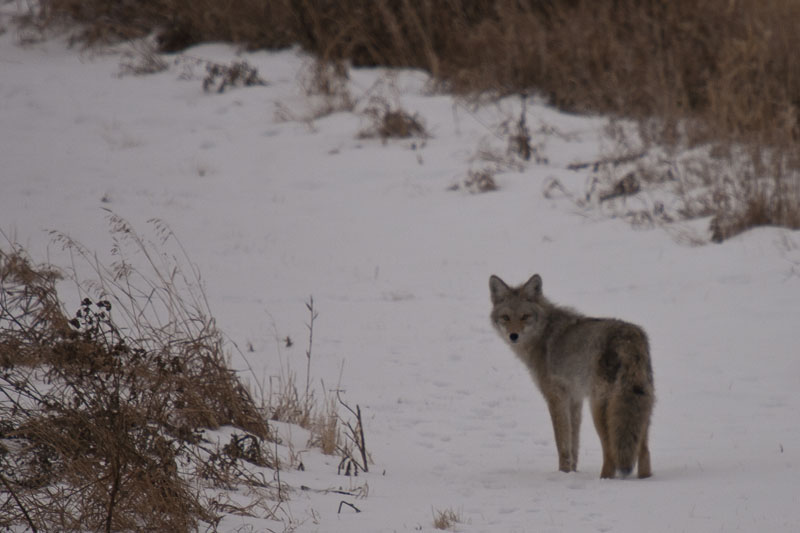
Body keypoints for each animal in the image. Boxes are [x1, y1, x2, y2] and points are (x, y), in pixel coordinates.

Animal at [489, 273, 654, 479]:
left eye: (525, 317)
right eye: (505, 317)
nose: (513, 336)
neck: (542, 335)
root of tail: (630, 337)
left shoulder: (556, 398)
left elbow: (562, 443)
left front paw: (563, 472)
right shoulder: (575, 399)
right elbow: (574, 443)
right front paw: (573, 472)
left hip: (599, 408)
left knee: (610, 453)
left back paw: (605, 479)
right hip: (639, 407)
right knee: (644, 452)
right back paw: (644, 479)